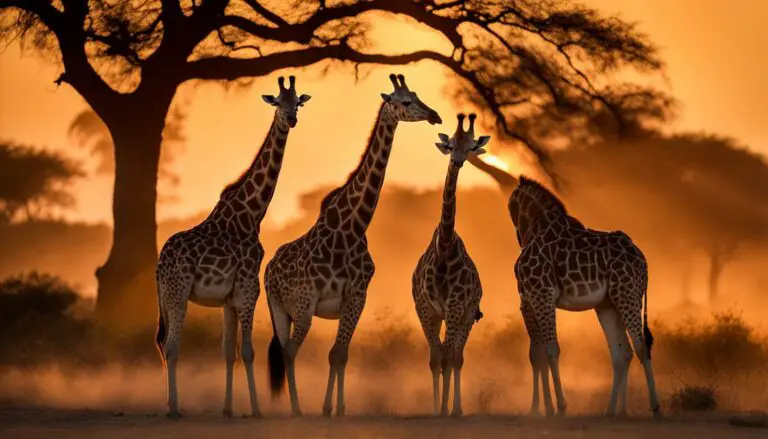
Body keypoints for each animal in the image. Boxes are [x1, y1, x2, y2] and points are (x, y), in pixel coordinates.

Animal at [154, 76, 311, 419]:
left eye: (297, 103)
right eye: (278, 102)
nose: (292, 120)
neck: (252, 213)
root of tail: (159, 266)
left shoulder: (229, 297)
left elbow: (229, 351)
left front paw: (228, 409)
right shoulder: (249, 286)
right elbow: (249, 351)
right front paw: (256, 409)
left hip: (166, 297)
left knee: (161, 342)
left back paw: (170, 403)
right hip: (177, 292)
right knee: (171, 346)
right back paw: (174, 408)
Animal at [264, 73, 442, 417]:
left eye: (417, 95)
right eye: (405, 101)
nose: (435, 115)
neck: (353, 226)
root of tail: (270, 268)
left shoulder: (357, 297)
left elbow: (339, 354)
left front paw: (336, 408)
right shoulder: (310, 299)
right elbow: (322, 353)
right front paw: (323, 408)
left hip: (288, 310)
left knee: (288, 350)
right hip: (285, 306)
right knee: (288, 351)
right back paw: (295, 408)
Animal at [412, 113, 489, 417]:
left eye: (471, 146)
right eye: (451, 145)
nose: (456, 161)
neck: (444, 248)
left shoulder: (457, 306)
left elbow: (448, 357)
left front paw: (446, 409)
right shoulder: (426, 309)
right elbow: (435, 359)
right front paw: (436, 409)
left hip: (467, 314)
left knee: (457, 356)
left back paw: (456, 408)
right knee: (447, 355)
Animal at [508, 176, 661, 418]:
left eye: (511, 206)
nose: (518, 236)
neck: (536, 226)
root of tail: (643, 261)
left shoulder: (541, 294)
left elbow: (551, 350)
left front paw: (559, 407)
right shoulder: (529, 301)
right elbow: (536, 353)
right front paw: (539, 408)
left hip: (626, 294)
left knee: (640, 345)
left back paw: (654, 406)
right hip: (610, 304)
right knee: (622, 353)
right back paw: (615, 410)